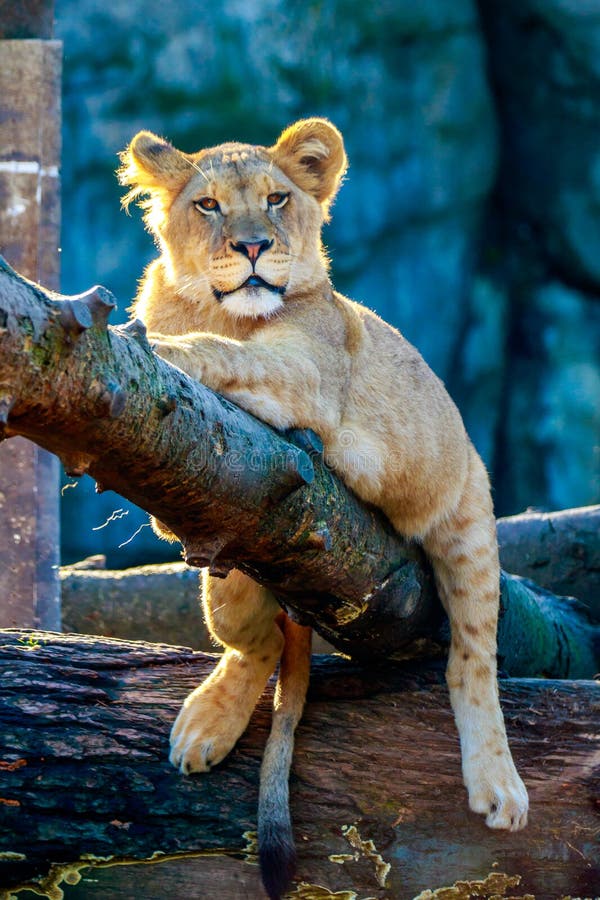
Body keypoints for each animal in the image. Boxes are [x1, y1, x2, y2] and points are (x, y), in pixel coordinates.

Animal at [118, 118, 528, 899]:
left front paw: (161, 347)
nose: (253, 247)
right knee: (255, 641)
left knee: (472, 659)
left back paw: (498, 783)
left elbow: (228, 354)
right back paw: (206, 726)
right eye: (208, 206)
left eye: (277, 199)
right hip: (233, 567)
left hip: (466, 515)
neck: (216, 308)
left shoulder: (309, 373)